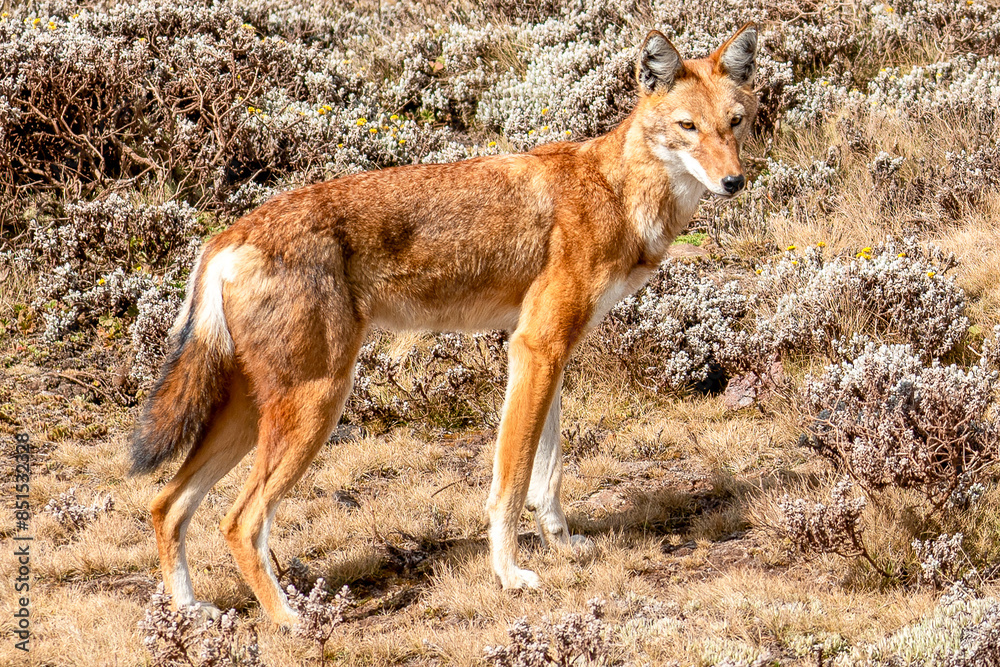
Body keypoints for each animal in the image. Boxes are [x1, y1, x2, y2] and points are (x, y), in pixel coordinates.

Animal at [131, 24, 758, 626]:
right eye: (687, 126)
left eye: (736, 122)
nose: (734, 182)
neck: (616, 193)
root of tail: (226, 237)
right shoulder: (535, 348)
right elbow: (509, 484)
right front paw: (509, 575)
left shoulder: (549, 353)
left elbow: (547, 477)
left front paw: (564, 544)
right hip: (317, 405)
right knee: (239, 521)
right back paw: (291, 619)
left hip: (249, 415)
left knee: (165, 504)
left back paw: (190, 615)